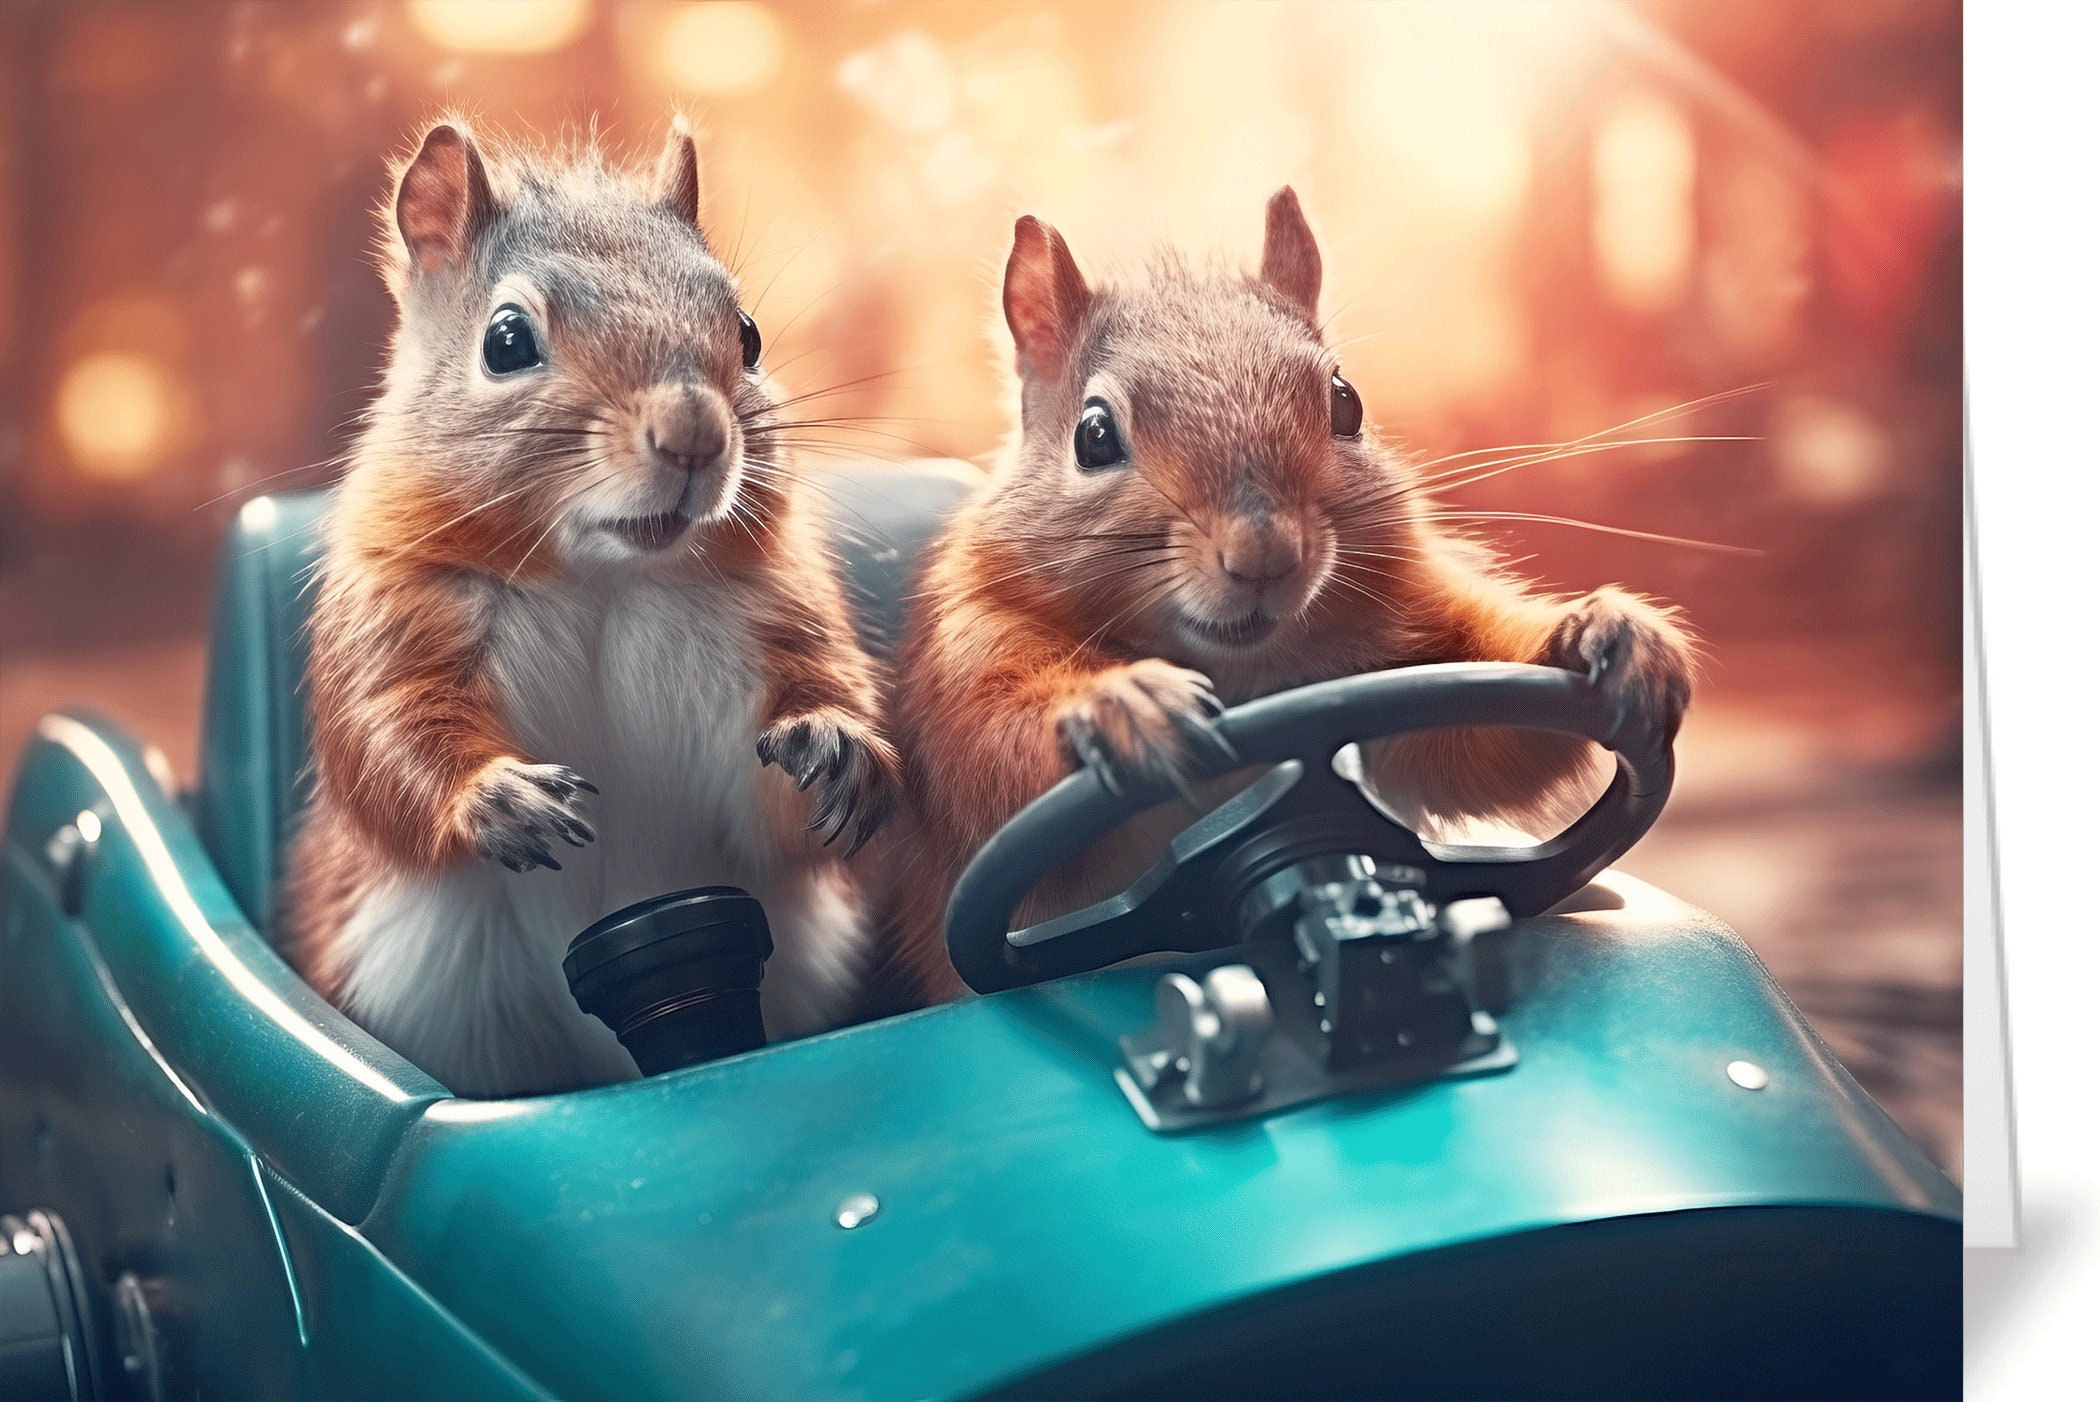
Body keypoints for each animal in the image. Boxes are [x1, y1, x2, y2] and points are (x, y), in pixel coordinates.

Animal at [277, 118, 899, 1097]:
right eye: (505, 341)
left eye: (749, 334)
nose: (694, 435)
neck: (603, 578)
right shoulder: (391, 613)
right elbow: (386, 737)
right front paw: (493, 799)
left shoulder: (773, 619)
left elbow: (775, 813)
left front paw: (837, 747)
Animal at [885, 188, 1696, 1000]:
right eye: (1092, 436)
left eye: (1347, 401)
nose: (1265, 554)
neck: (1248, 679)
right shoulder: (971, 644)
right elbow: (987, 750)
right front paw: (1118, 703)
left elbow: (1487, 743)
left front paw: (1604, 630)